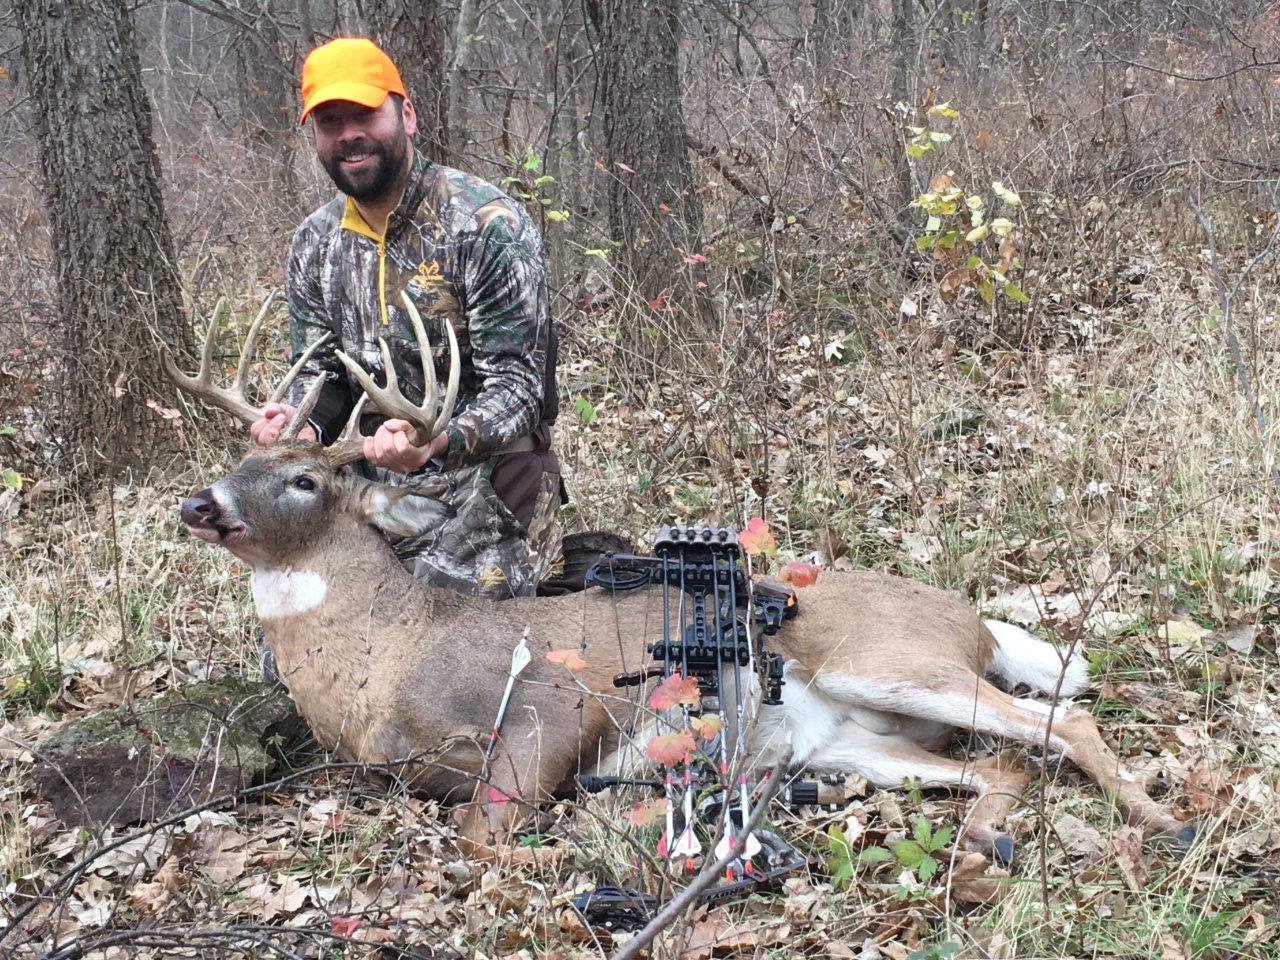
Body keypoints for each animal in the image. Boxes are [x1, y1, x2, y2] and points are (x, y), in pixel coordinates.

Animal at [165, 295, 1194, 865]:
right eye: (238, 460)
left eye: (304, 480)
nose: (198, 504)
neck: (382, 663)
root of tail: (976, 620)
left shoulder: (549, 703)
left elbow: (485, 831)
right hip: (853, 742)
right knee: (1002, 763)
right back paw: (986, 837)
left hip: (887, 659)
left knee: (1065, 721)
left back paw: (1164, 821)